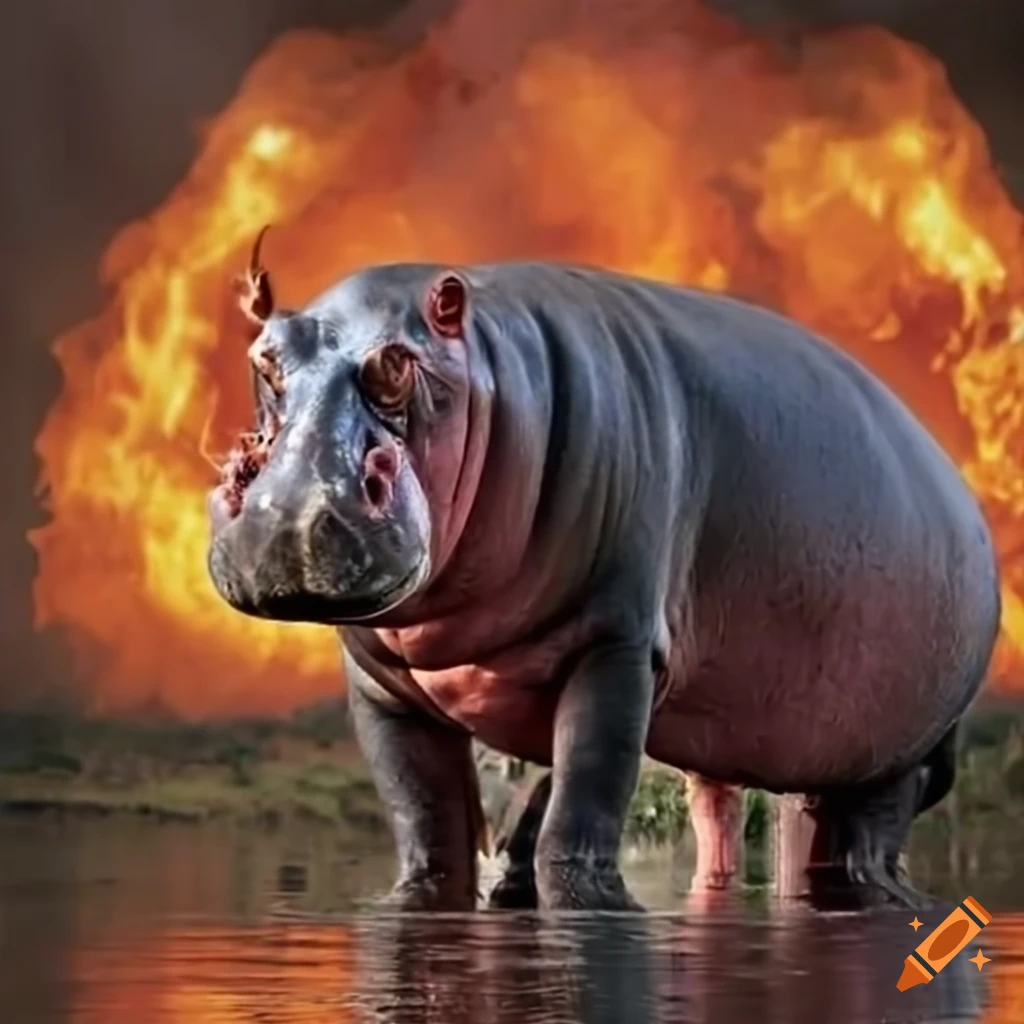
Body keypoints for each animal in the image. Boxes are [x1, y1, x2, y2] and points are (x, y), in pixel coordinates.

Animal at [207, 242, 1000, 911]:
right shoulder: (380, 685)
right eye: (265, 359)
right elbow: (422, 818)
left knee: (872, 832)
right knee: (741, 811)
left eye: (398, 363)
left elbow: (585, 796)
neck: (487, 368)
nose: (288, 517)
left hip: (901, 746)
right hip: (766, 741)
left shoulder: (616, 644)